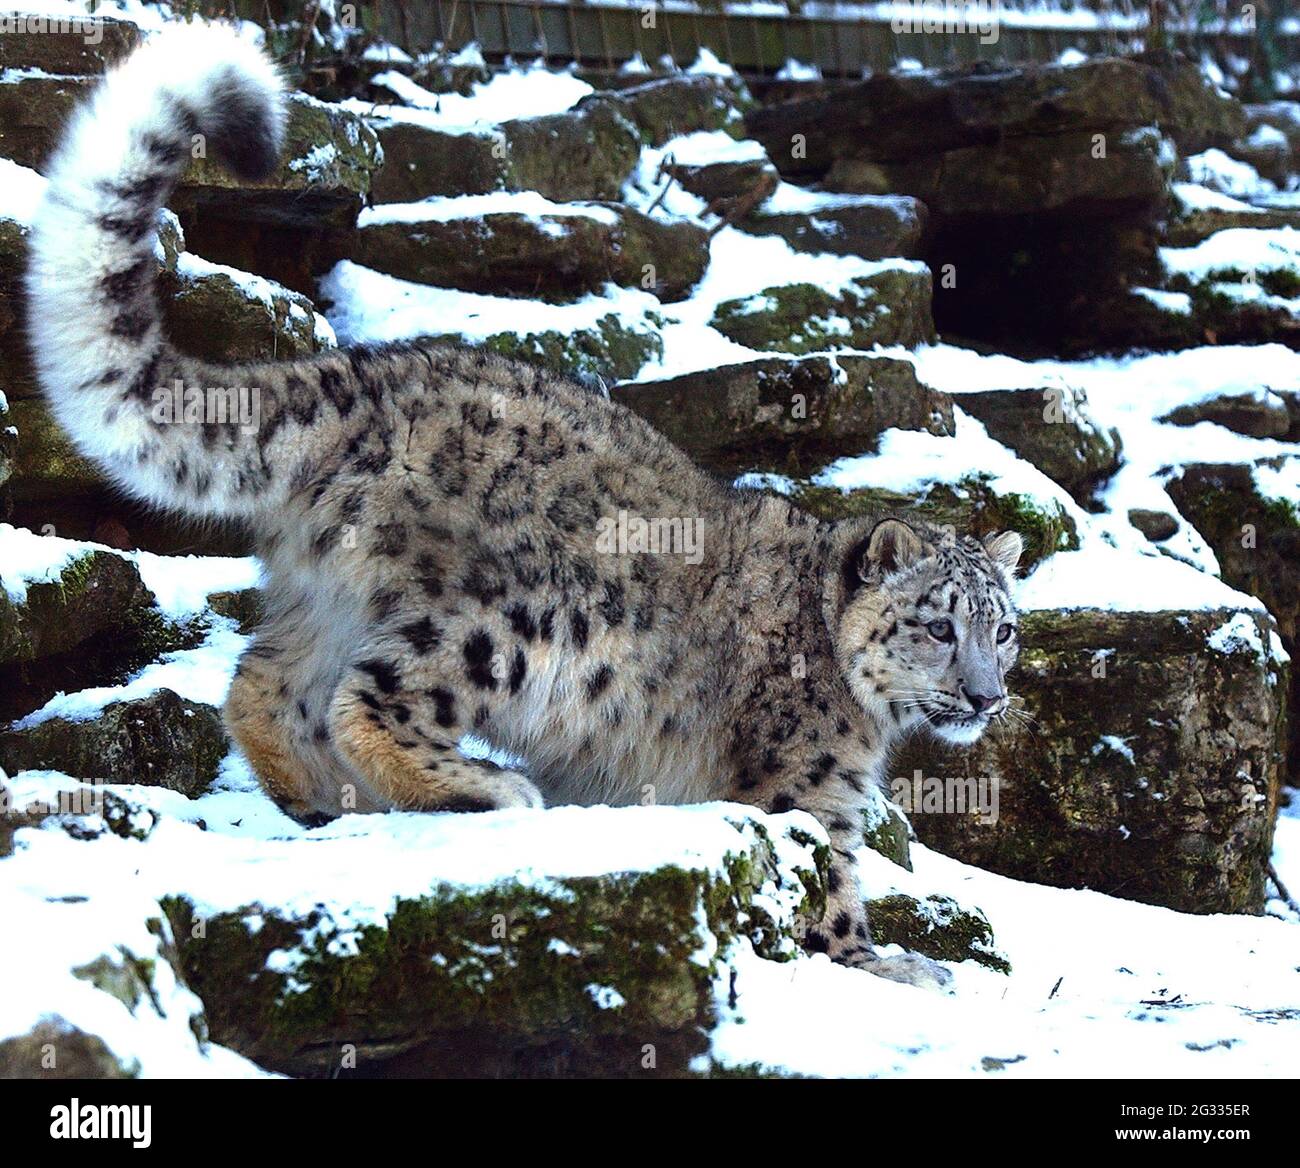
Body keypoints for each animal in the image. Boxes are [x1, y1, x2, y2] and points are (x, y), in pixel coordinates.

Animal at [25, 22, 1023, 988]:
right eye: (938, 626)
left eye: (1004, 630)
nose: (986, 694)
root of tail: (366, 378)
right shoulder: (810, 780)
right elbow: (831, 873)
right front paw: (883, 963)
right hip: (516, 617)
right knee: (367, 695)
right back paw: (483, 789)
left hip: (327, 596)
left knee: (264, 686)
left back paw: (331, 804)